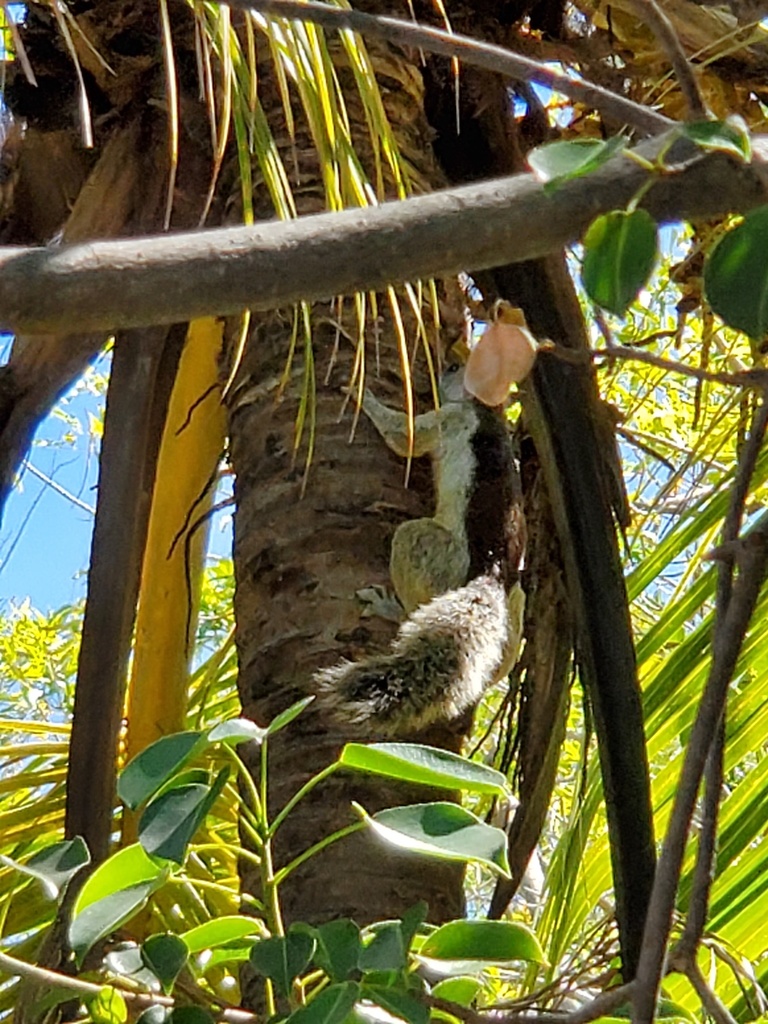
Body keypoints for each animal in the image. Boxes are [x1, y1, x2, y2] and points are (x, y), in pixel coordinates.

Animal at [316, 333, 529, 735]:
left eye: (454, 367)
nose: (442, 359)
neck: (486, 408)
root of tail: (490, 575)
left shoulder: (451, 419)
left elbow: (404, 436)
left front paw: (362, 394)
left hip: (432, 551)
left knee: (411, 545)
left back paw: (390, 608)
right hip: (515, 606)